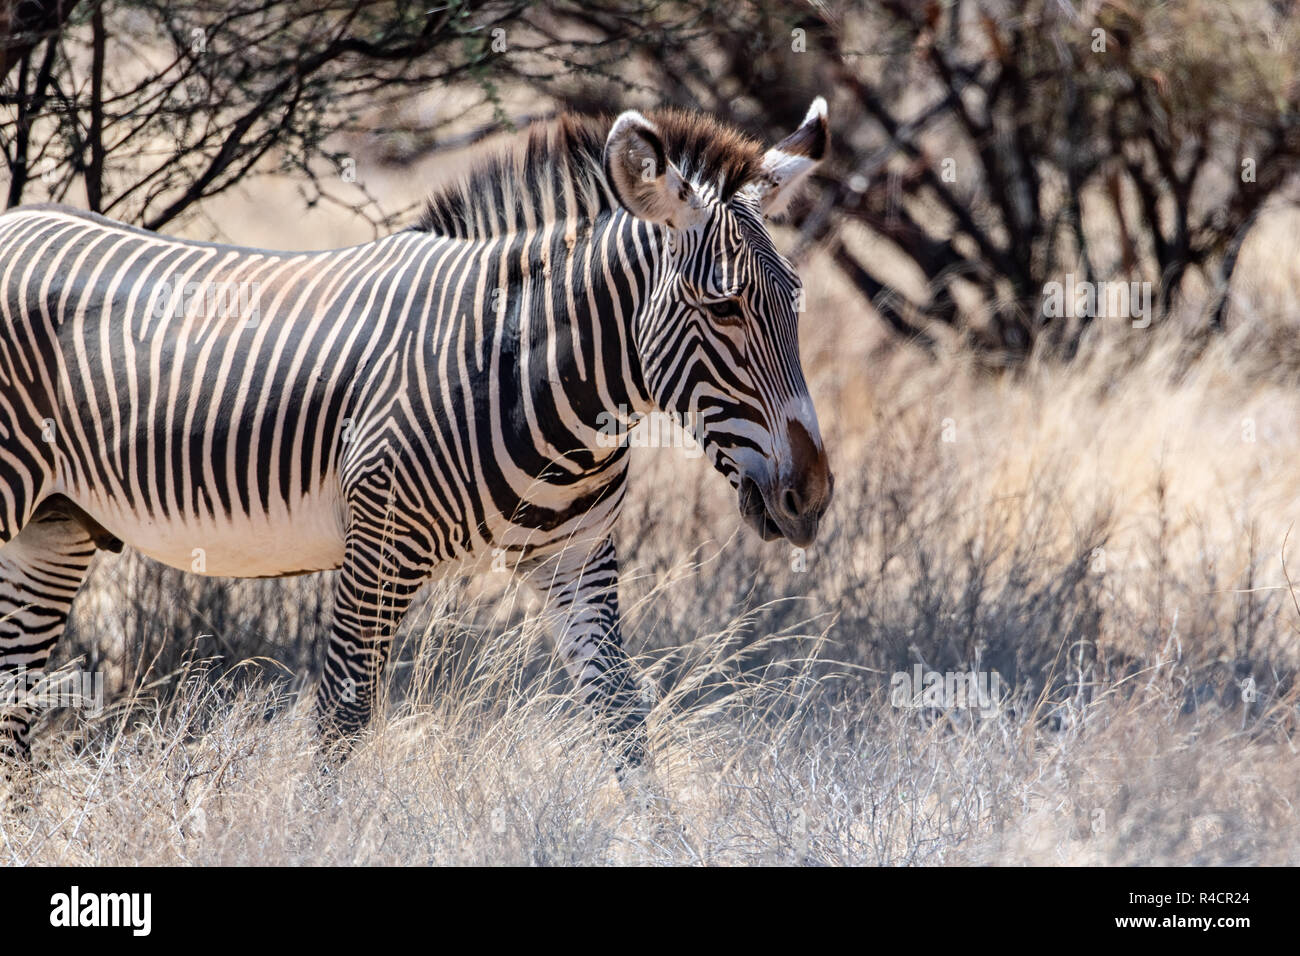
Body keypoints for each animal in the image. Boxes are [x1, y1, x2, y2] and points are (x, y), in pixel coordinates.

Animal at [0, 100, 834, 782]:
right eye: (723, 308)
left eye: (796, 300)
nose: (812, 495)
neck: (524, 369)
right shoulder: (378, 548)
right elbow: (341, 722)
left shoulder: (577, 556)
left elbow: (623, 717)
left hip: (51, 530)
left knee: (12, 703)